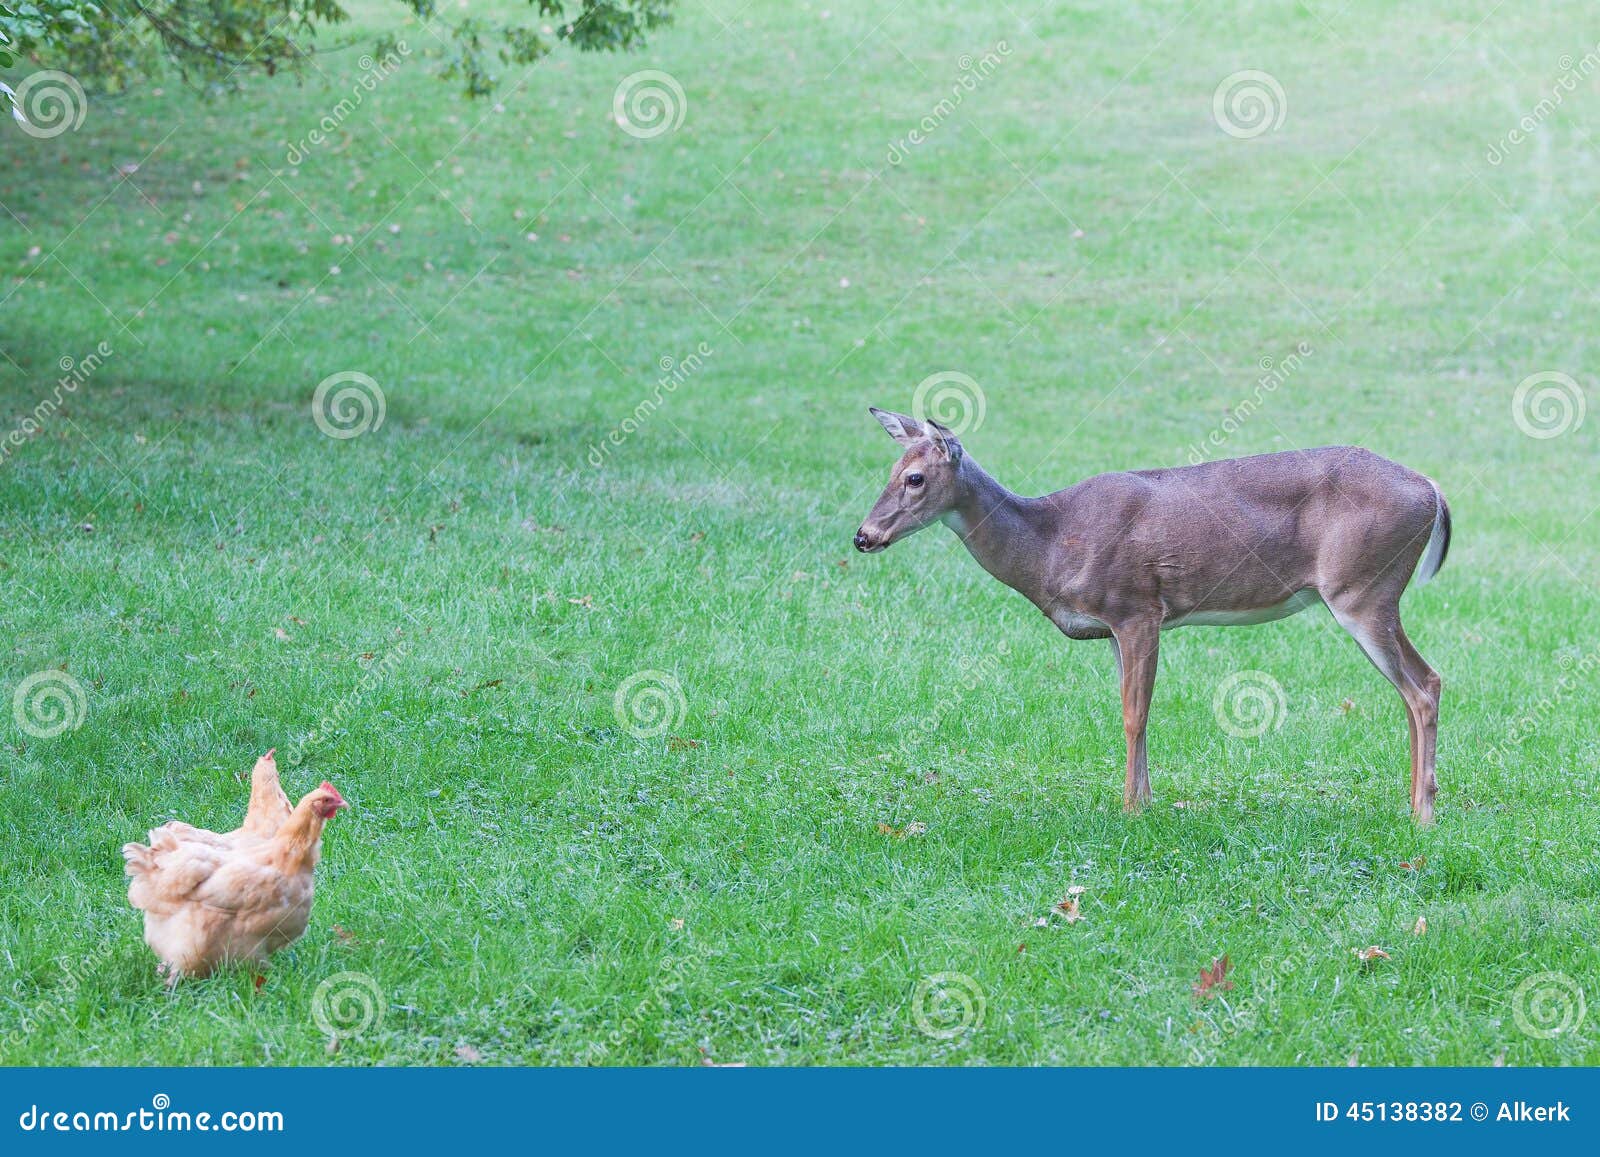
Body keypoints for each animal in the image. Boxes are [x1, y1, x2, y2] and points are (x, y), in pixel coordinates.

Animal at [854, 408, 1451, 823]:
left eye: (915, 478)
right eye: (890, 469)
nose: (863, 536)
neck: (1051, 542)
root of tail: (1433, 490)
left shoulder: (1137, 606)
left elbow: (1133, 714)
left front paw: (1130, 809)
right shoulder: (1113, 628)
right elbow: (1133, 711)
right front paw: (1145, 801)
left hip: (1363, 589)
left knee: (1424, 685)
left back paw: (1422, 815)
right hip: (1370, 593)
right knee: (1417, 688)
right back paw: (1411, 802)